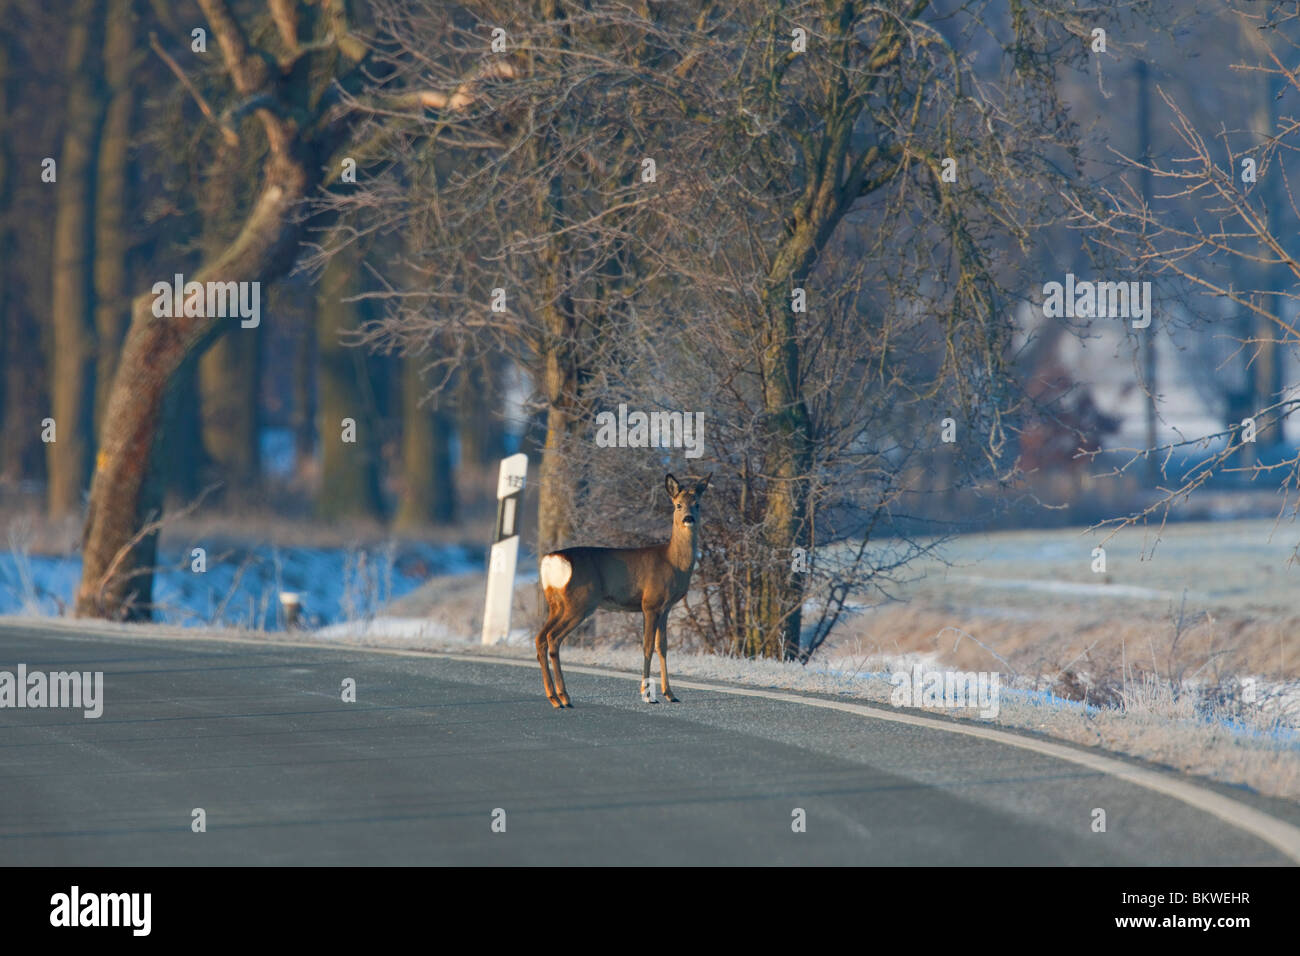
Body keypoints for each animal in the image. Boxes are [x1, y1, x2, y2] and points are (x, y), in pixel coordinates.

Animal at [534, 473, 710, 709]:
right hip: (579, 602)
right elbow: (647, 646)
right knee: (553, 638)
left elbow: (662, 646)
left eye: (697, 504)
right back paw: (563, 697)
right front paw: (647, 694)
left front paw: (670, 693)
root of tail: (551, 560)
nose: (688, 518)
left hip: (556, 604)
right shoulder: (650, 603)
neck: (673, 561)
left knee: (541, 638)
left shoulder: (665, 608)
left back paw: (555, 696)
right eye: (678, 505)